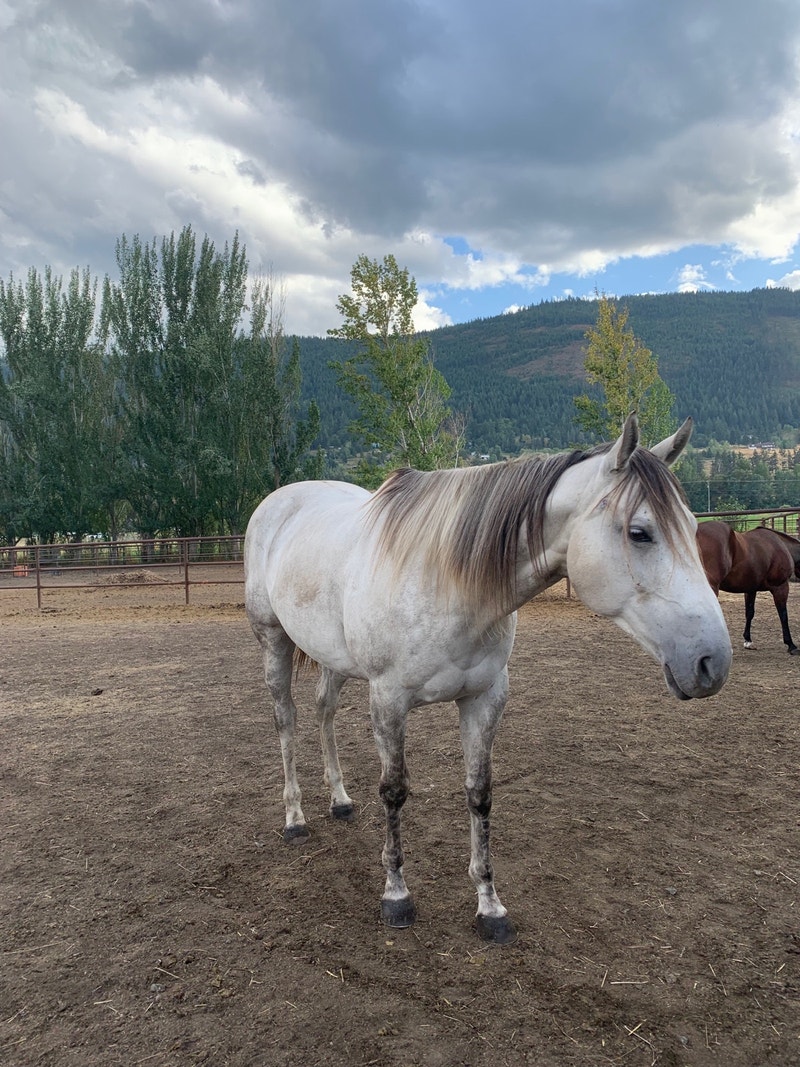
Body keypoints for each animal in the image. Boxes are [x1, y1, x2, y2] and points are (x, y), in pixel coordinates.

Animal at [244, 414, 731, 944]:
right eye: (640, 532)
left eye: (692, 527)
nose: (712, 662)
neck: (445, 580)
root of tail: (281, 500)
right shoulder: (388, 700)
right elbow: (394, 790)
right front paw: (396, 895)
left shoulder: (484, 699)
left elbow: (479, 794)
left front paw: (489, 905)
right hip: (273, 641)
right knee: (286, 720)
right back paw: (295, 818)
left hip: (333, 658)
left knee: (324, 712)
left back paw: (339, 799)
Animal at [696, 520, 800, 654]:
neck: (784, 546)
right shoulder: (780, 587)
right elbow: (783, 615)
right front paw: (791, 644)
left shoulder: (750, 589)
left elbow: (749, 613)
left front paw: (748, 641)